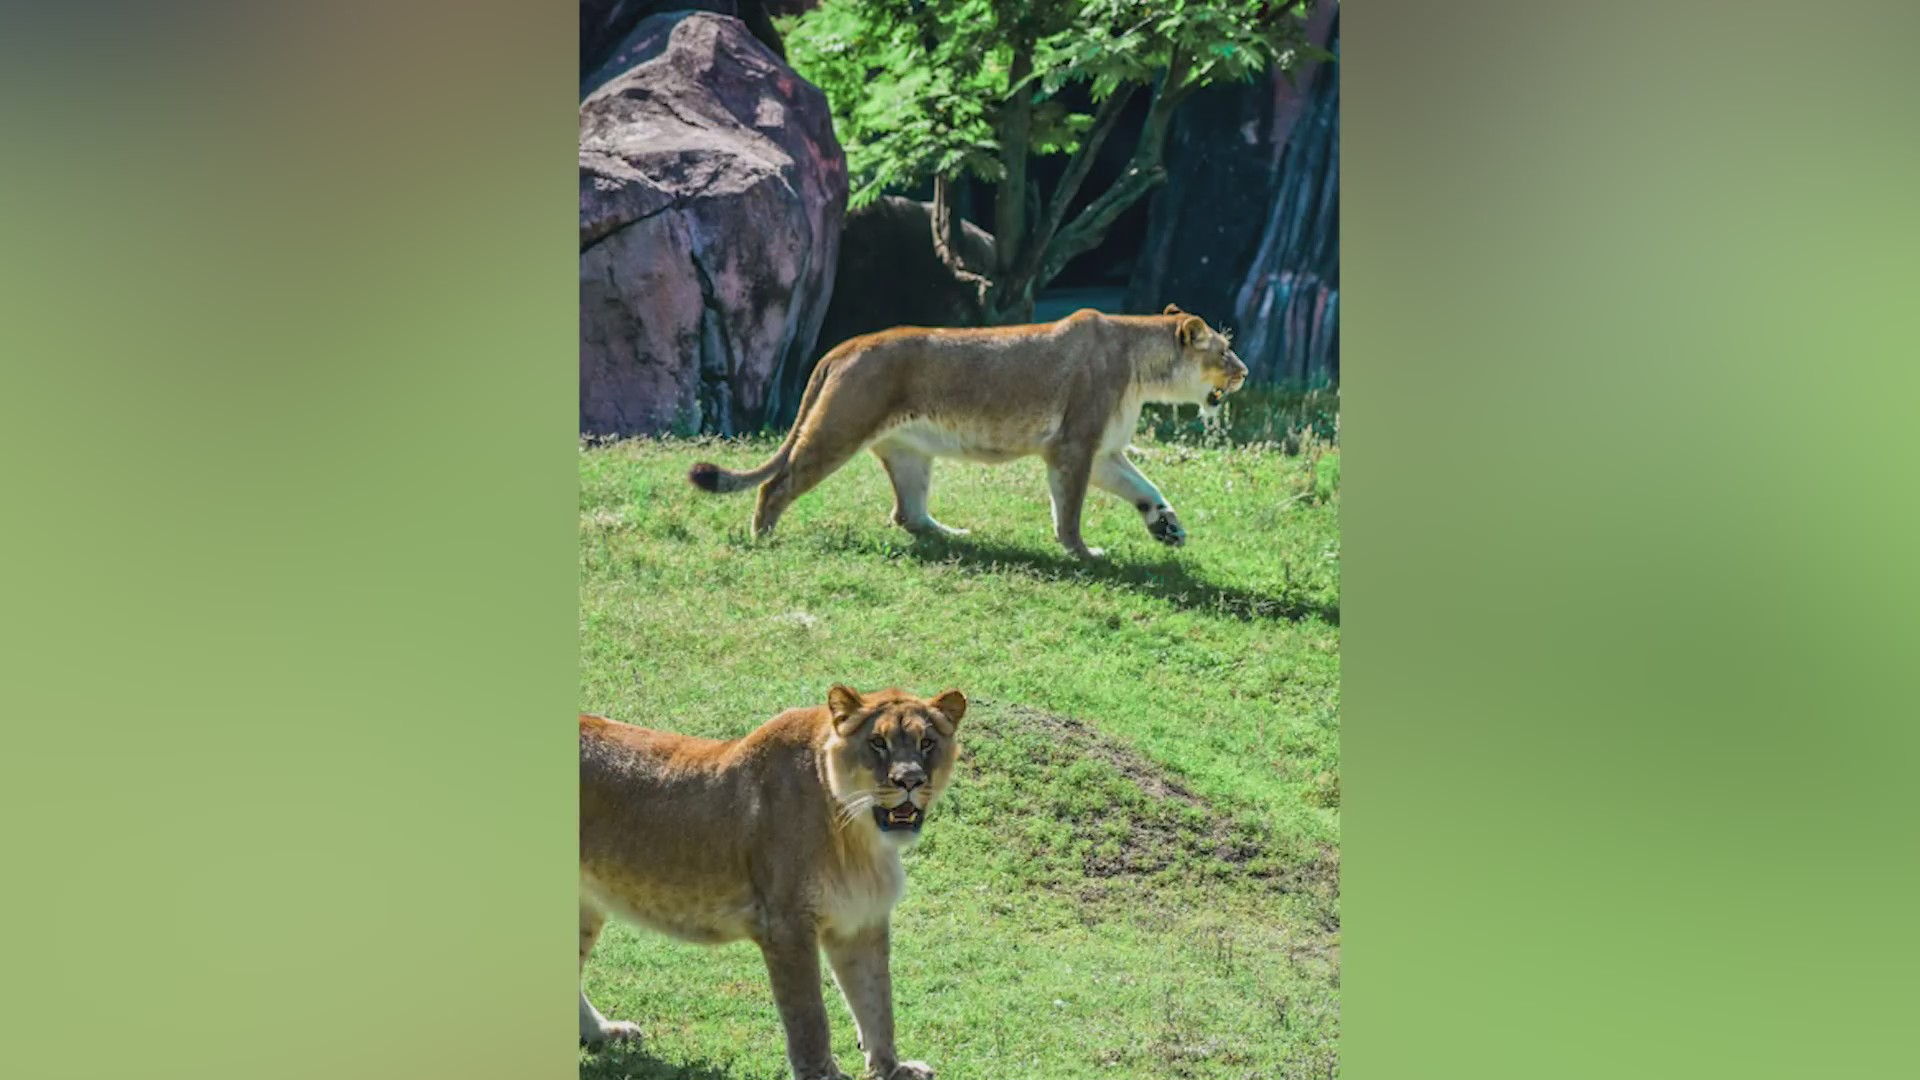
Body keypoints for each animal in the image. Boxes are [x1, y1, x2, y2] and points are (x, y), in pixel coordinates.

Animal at [579, 685, 967, 1080]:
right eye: (877, 742)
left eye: (926, 743)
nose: (910, 781)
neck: (859, 835)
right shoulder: (786, 925)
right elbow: (809, 1016)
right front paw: (823, 1075)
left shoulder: (860, 921)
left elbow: (877, 1003)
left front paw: (893, 1069)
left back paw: (602, 1033)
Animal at [688, 304, 1249, 559]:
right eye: (1224, 350)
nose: (1244, 372)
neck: (1141, 368)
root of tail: (844, 346)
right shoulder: (1073, 447)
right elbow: (1068, 510)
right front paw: (1083, 553)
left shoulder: (1105, 451)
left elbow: (1145, 486)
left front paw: (1167, 526)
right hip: (838, 429)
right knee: (775, 485)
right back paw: (763, 537)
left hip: (909, 454)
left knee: (908, 515)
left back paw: (955, 535)